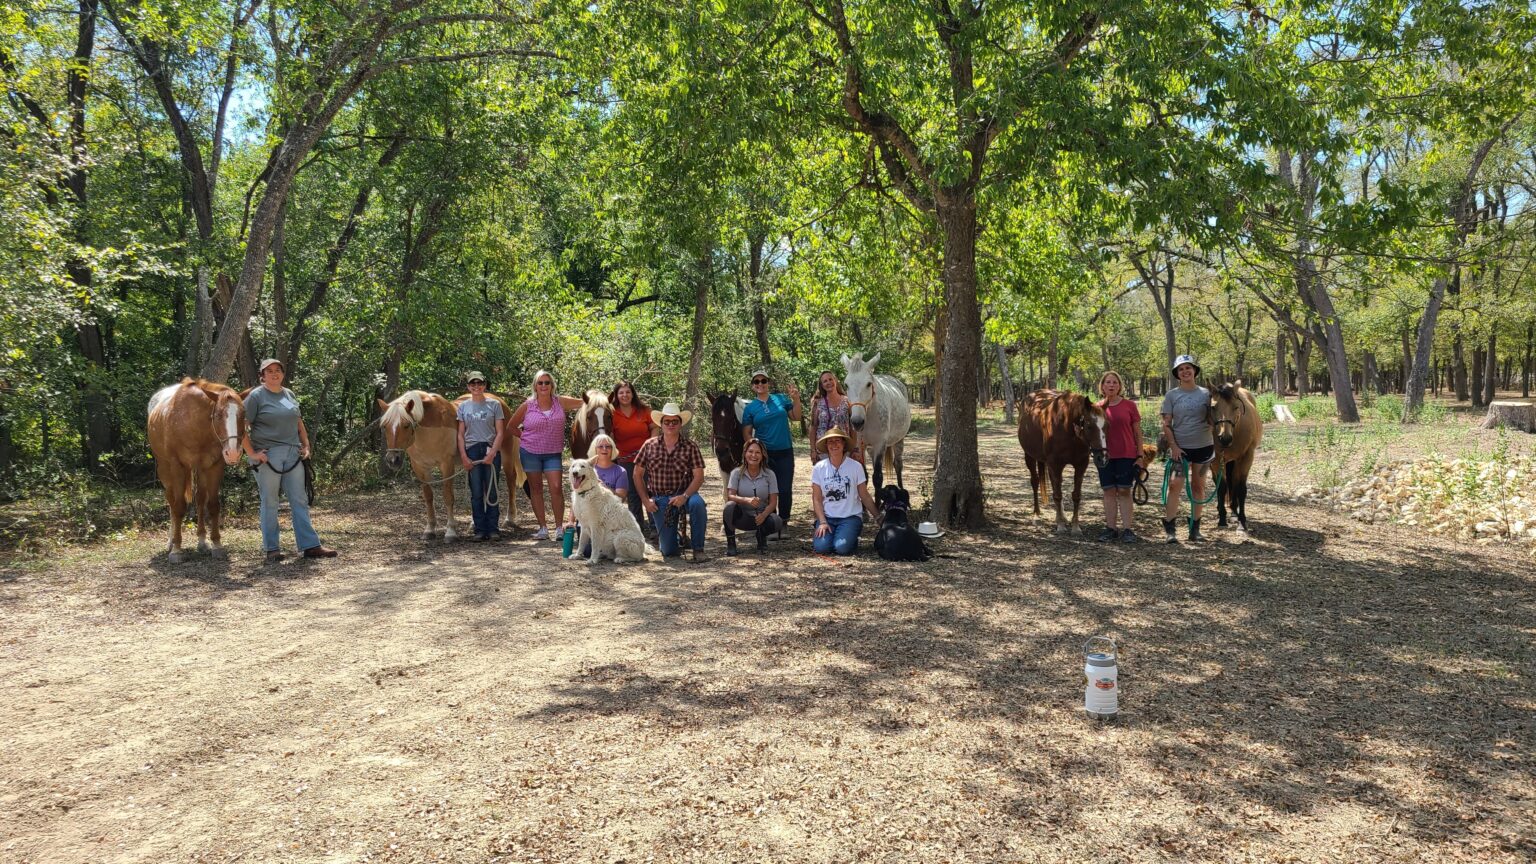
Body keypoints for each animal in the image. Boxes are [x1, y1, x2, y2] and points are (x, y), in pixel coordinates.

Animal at [147, 378, 246, 563]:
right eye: (218, 415)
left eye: (243, 415)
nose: (233, 452)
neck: (195, 425)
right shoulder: (177, 466)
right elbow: (179, 507)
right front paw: (177, 549)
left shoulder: (215, 466)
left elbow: (213, 505)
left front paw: (216, 544)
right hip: (165, 470)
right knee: (171, 501)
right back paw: (171, 541)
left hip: (199, 469)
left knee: (200, 500)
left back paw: (202, 541)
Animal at [377, 390, 525, 540]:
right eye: (384, 426)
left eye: (406, 425)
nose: (392, 460)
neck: (429, 430)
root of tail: (499, 400)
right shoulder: (420, 467)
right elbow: (428, 497)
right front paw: (430, 529)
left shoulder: (447, 464)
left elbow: (448, 497)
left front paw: (450, 531)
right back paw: (474, 524)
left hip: (505, 453)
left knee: (510, 481)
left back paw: (509, 519)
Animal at [842, 352, 912, 491]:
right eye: (846, 384)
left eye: (869, 384)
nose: (857, 422)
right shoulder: (859, 445)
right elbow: (863, 475)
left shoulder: (880, 444)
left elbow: (878, 478)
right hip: (870, 448)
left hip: (899, 440)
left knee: (898, 465)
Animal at [1017, 389, 1107, 536]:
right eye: (1089, 426)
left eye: (1107, 426)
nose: (1102, 458)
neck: (1066, 426)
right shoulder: (1055, 464)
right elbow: (1058, 495)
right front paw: (1060, 525)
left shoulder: (1081, 465)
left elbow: (1076, 495)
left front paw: (1075, 526)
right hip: (1029, 456)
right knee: (1035, 482)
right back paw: (1037, 514)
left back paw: (1061, 515)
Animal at [1210, 381, 1264, 535]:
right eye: (1213, 407)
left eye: (1235, 407)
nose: (1225, 438)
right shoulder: (1216, 460)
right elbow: (1221, 487)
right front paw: (1222, 519)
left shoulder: (1246, 457)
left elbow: (1240, 488)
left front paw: (1242, 522)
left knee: (1233, 480)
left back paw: (1234, 512)